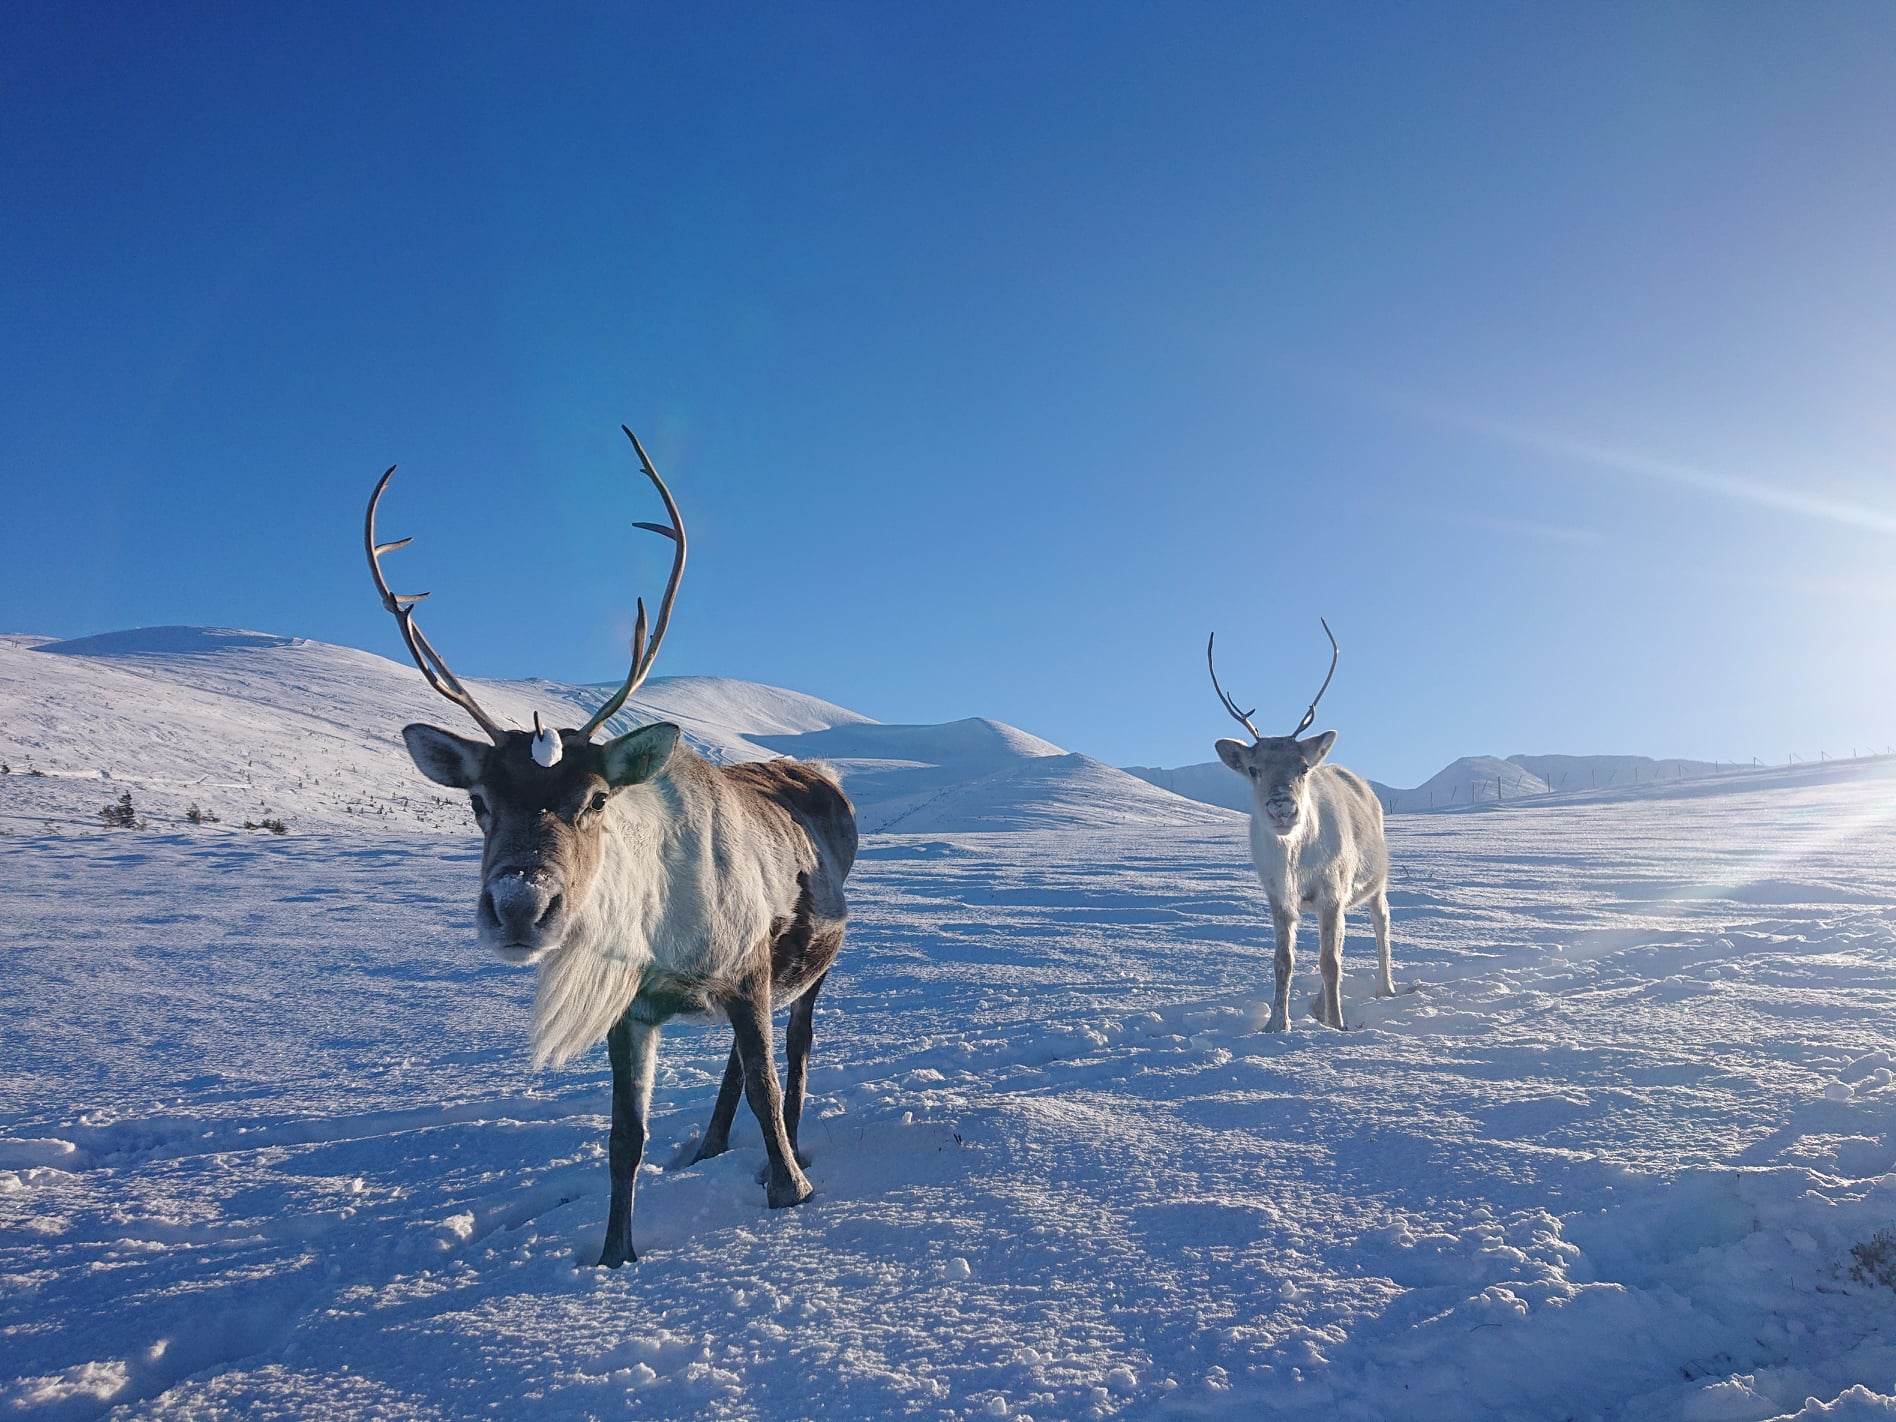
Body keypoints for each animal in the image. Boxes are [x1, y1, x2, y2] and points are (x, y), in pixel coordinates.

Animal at [364, 426, 857, 1267]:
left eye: (595, 799)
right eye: (478, 801)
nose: (519, 904)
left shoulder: (750, 967)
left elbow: (765, 1086)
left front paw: (790, 1189)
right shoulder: (634, 1008)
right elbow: (625, 1137)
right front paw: (614, 1255)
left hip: (815, 960)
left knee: (793, 1049)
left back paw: (785, 1142)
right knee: (738, 1067)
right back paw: (711, 1145)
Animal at [1207, 619, 1394, 1032]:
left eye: (1303, 767)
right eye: (1254, 769)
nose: (1281, 807)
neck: (1294, 861)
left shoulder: (1332, 891)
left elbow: (1330, 962)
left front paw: (1337, 1024)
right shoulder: (1277, 896)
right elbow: (1283, 962)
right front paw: (1278, 1024)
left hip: (1375, 883)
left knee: (1381, 924)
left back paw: (1385, 988)